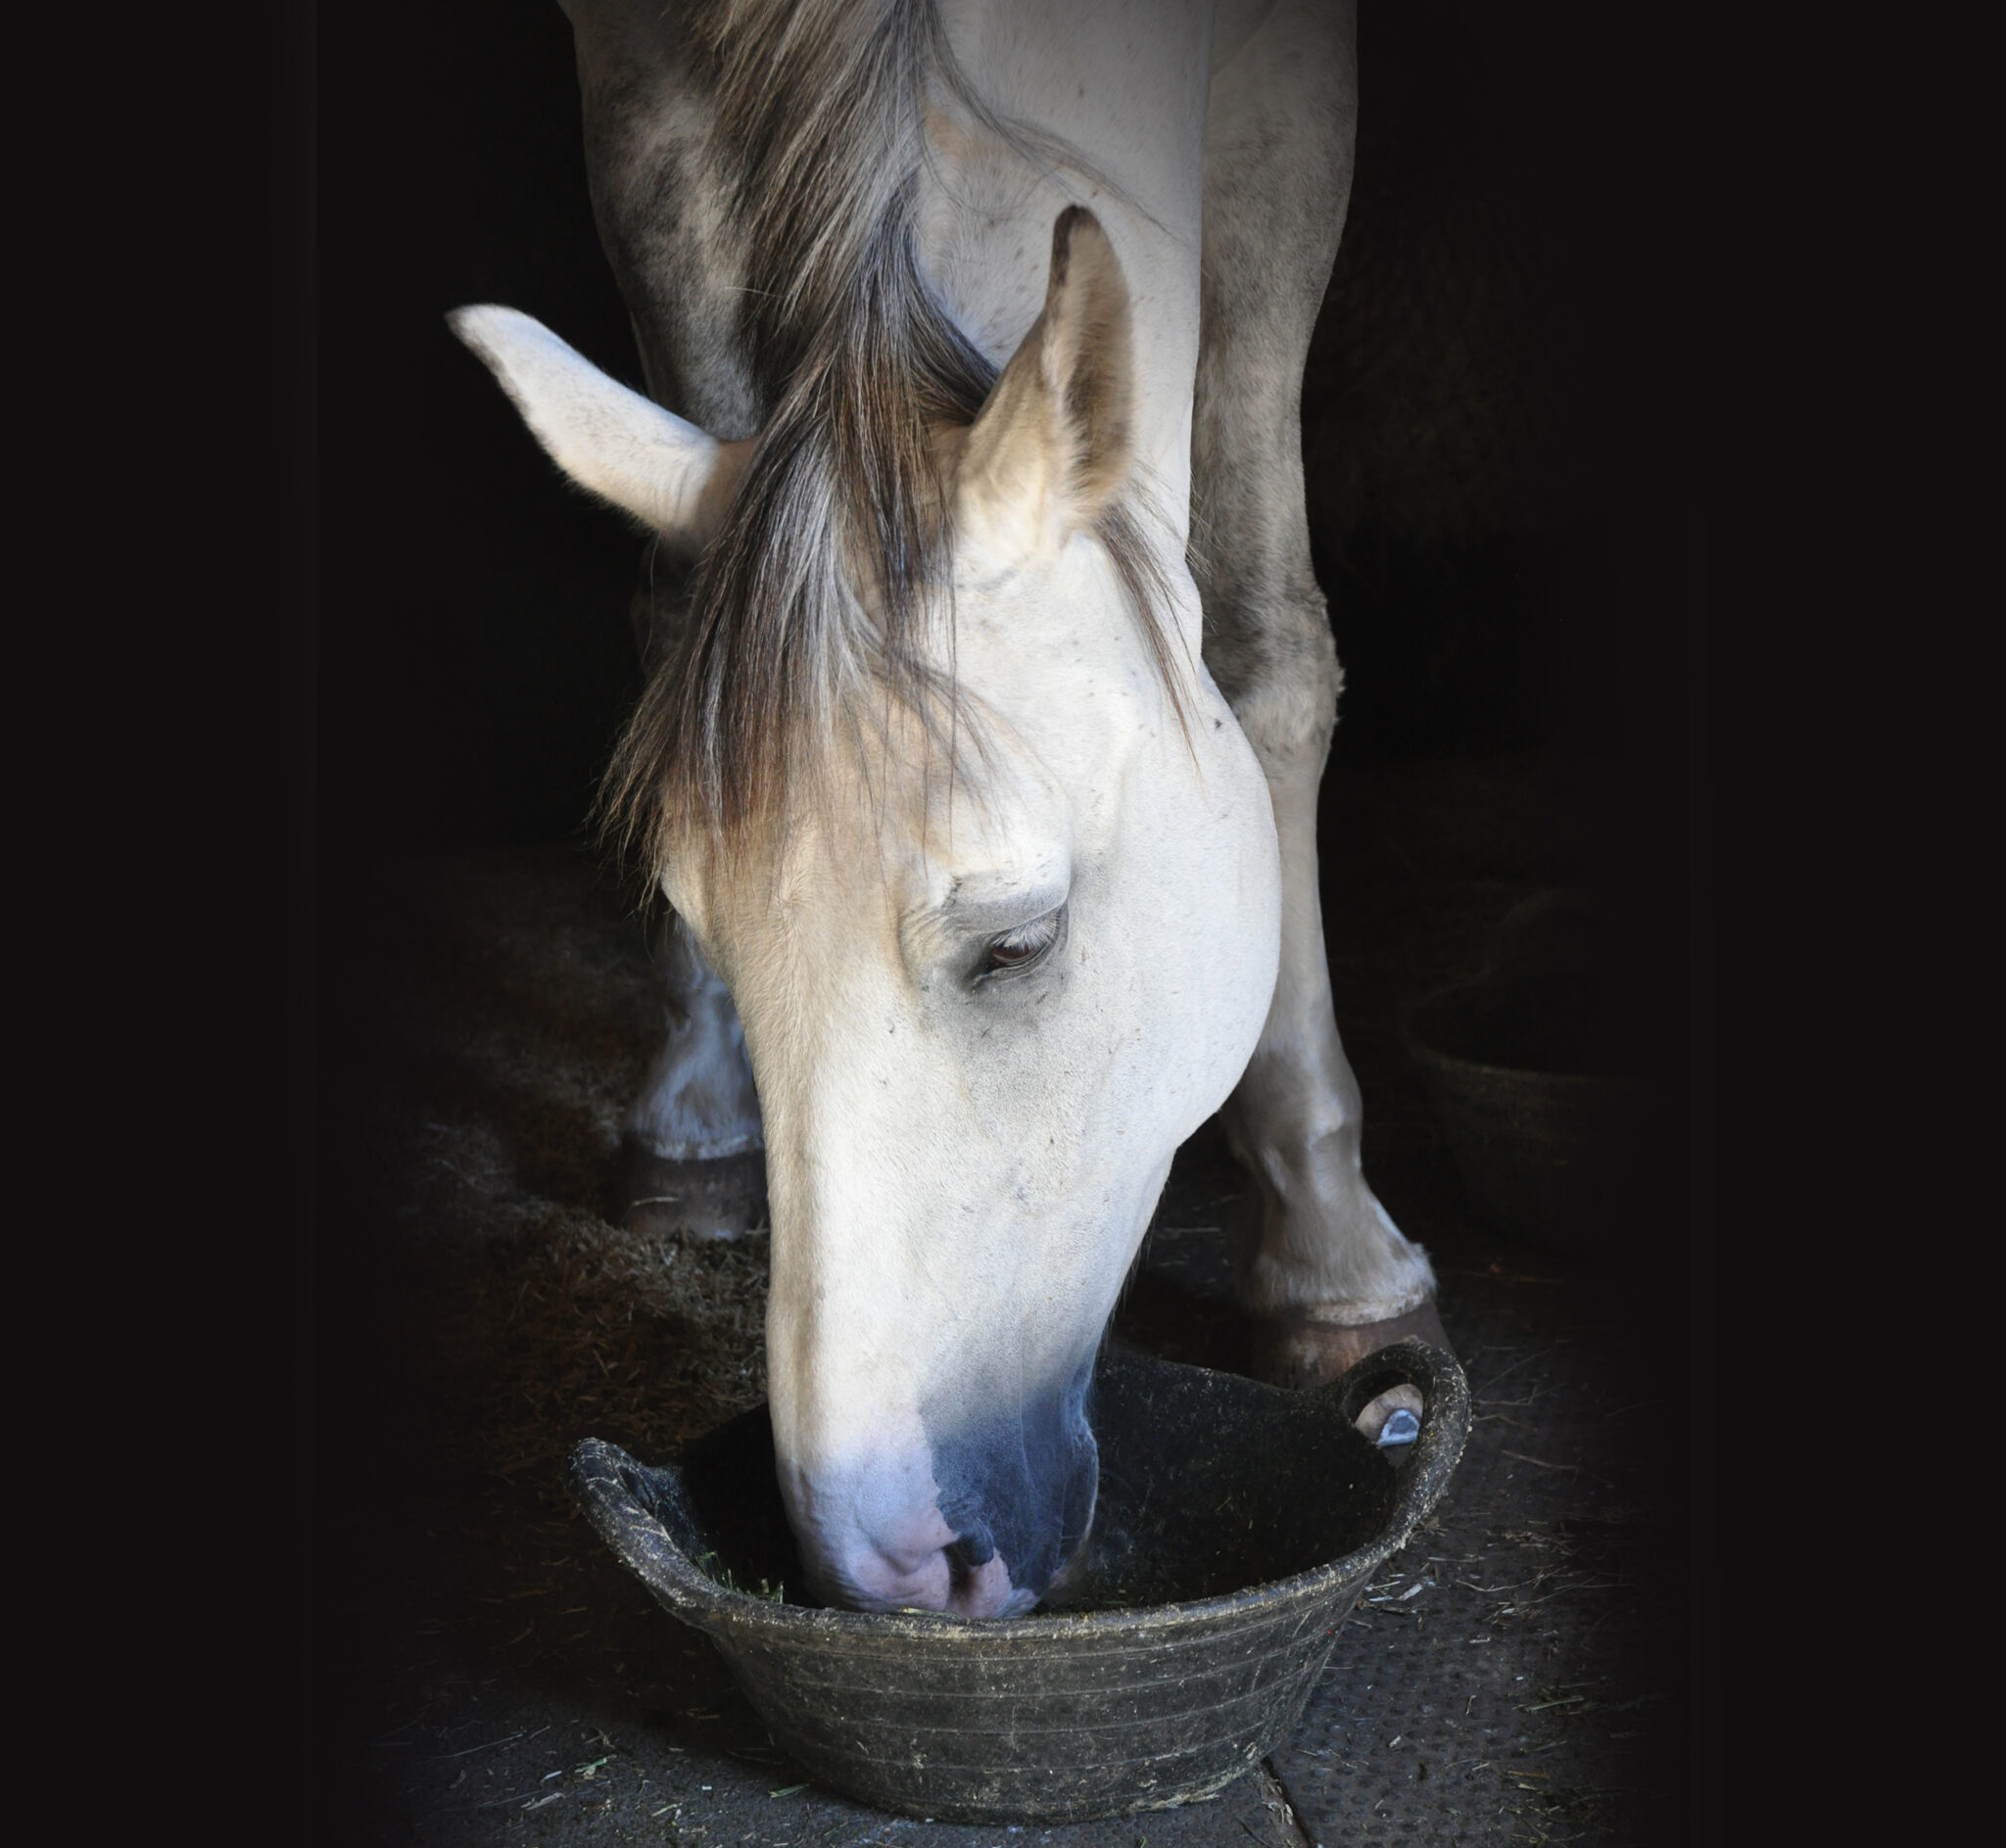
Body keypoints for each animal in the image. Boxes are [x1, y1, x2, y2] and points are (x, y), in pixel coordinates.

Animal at [451, 0, 1445, 1619]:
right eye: (698, 919)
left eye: (1017, 945)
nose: (902, 1563)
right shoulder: (638, 73)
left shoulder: (1289, 90)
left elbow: (1264, 645)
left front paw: (1335, 1253)